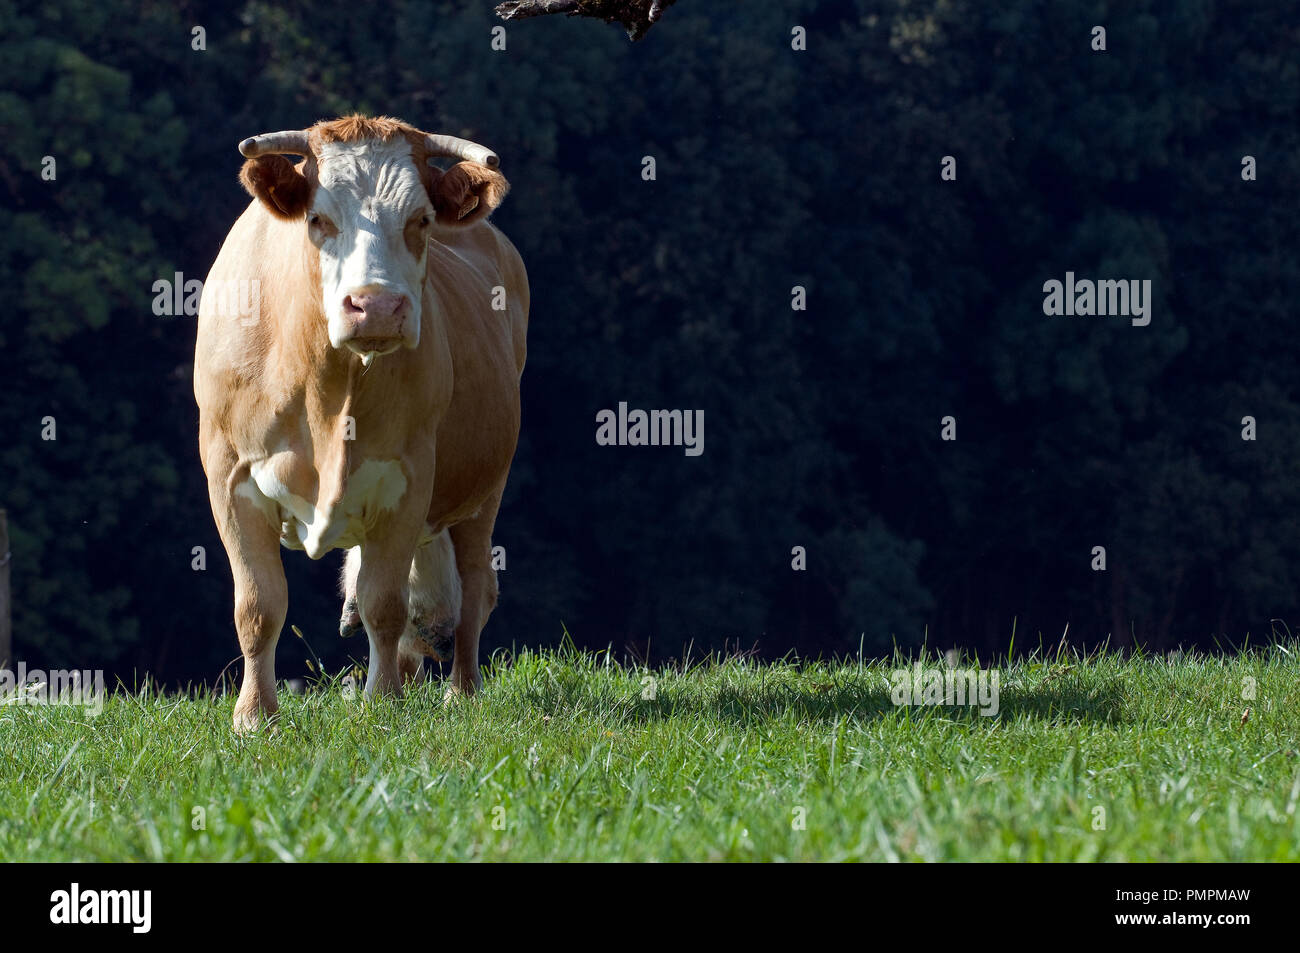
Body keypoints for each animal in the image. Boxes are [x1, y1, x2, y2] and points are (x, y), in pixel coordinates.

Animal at [194, 115, 528, 730]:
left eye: (421, 220)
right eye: (318, 219)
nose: (375, 306)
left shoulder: (409, 479)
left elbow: (385, 603)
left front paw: (382, 703)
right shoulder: (230, 475)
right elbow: (258, 606)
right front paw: (254, 716)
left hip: (485, 486)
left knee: (473, 586)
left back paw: (461, 691)